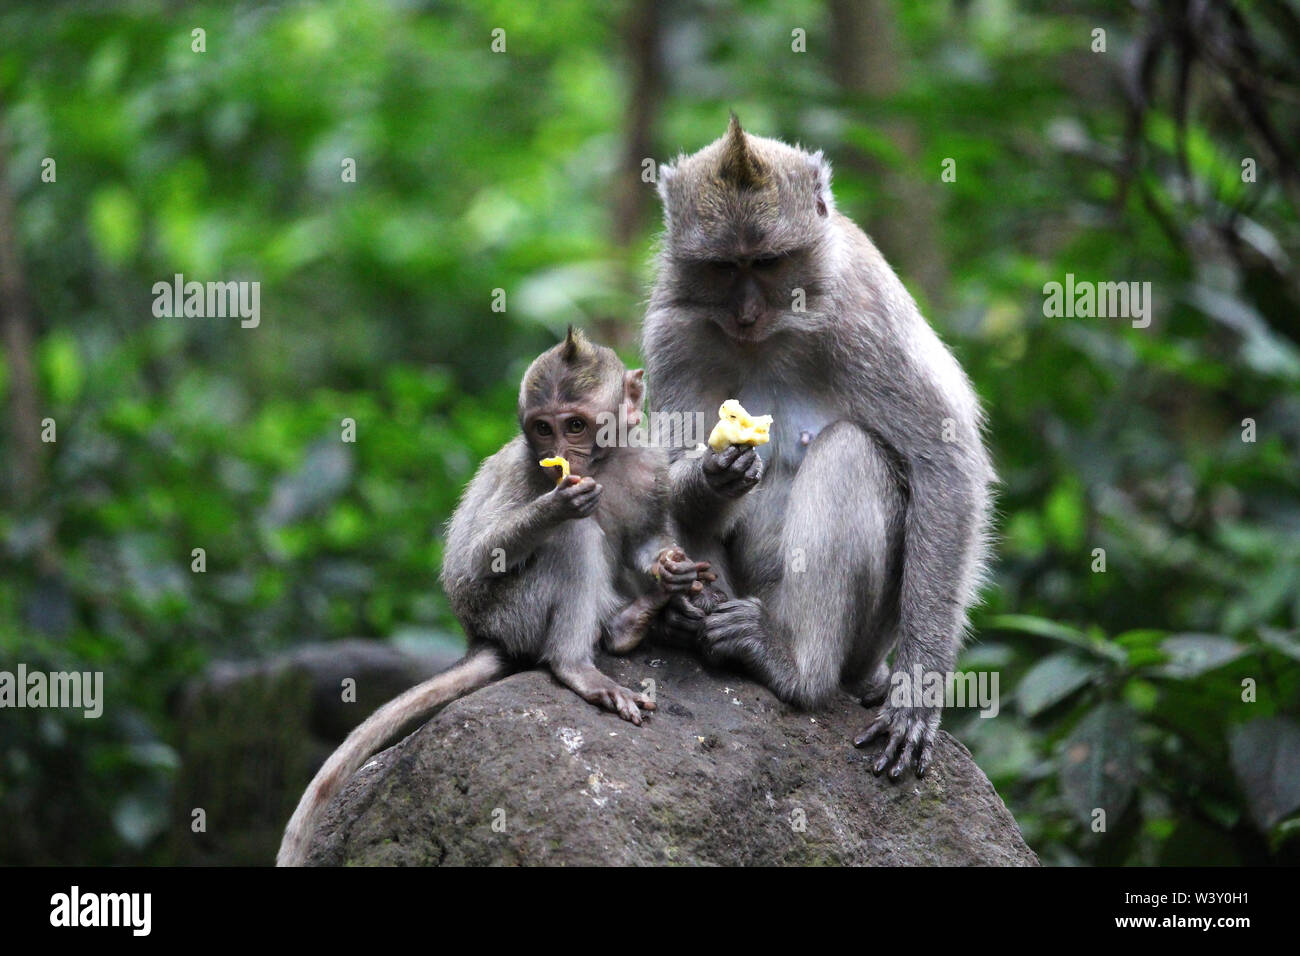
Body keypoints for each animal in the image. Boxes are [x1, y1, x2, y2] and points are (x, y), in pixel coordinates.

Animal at [277, 327, 713, 866]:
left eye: (575, 425)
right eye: (543, 429)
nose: (561, 452)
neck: (606, 464)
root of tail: (482, 635)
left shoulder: (650, 465)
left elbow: (646, 540)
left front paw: (673, 569)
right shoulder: (525, 471)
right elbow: (478, 558)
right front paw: (555, 507)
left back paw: (632, 620)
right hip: (511, 613)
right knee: (572, 539)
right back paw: (579, 662)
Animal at [642, 115, 995, 779]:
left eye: (769, 262)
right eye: (724, 267)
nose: (747, 312)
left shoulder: (864, 311)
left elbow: (944, 464)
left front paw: (918, 691)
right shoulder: (671, 330)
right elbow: (660, 472)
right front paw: (714, 471)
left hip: (862, 641)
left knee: (850, 451)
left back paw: (794, 667)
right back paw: (688, 618)